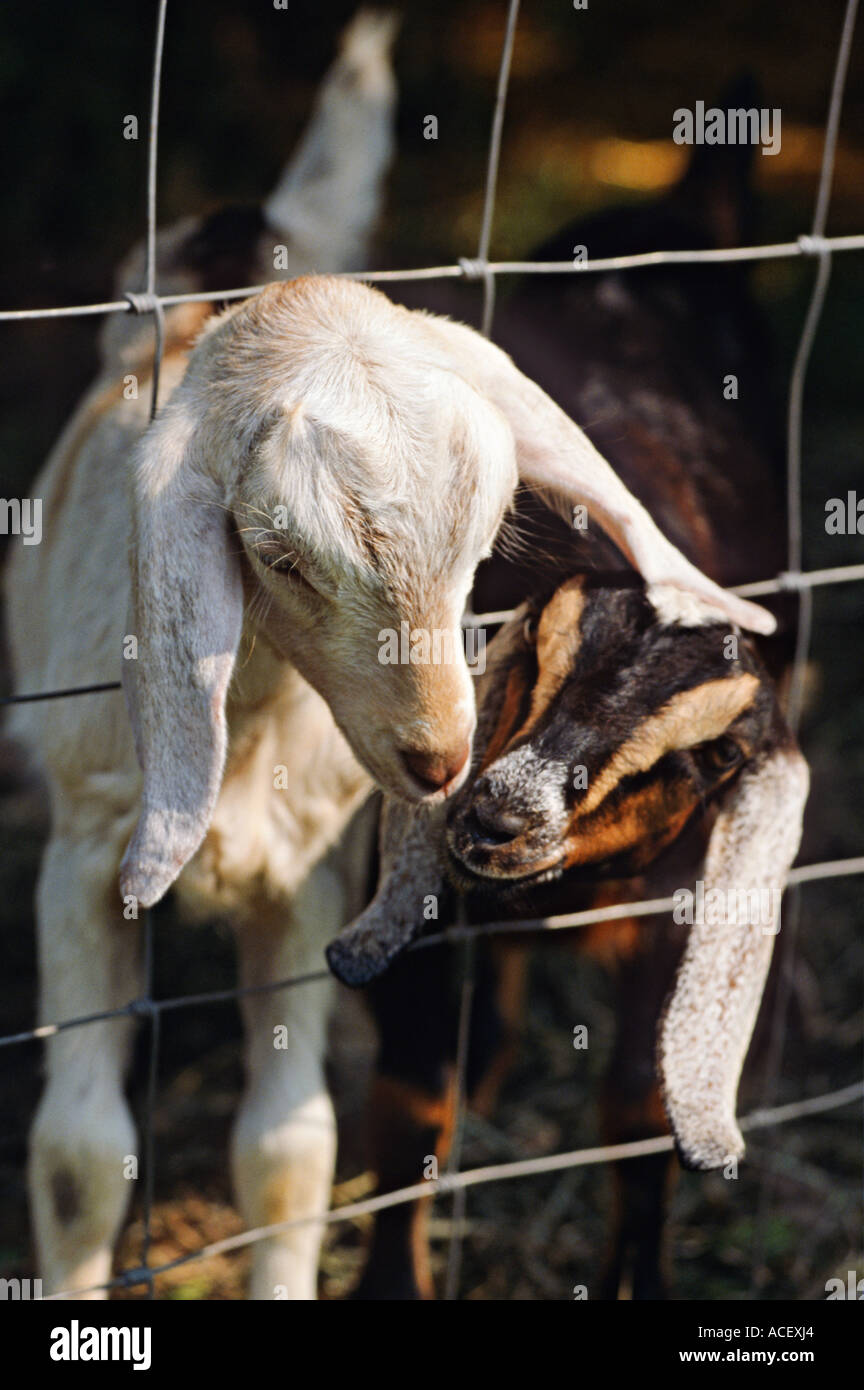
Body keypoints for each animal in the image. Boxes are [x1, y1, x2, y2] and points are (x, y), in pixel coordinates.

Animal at [329, 129, 810, 1301]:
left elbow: (638, 1106)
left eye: (703, 759)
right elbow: (411, 1095)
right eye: (535, 660)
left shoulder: (676, 908)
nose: (497, 817)